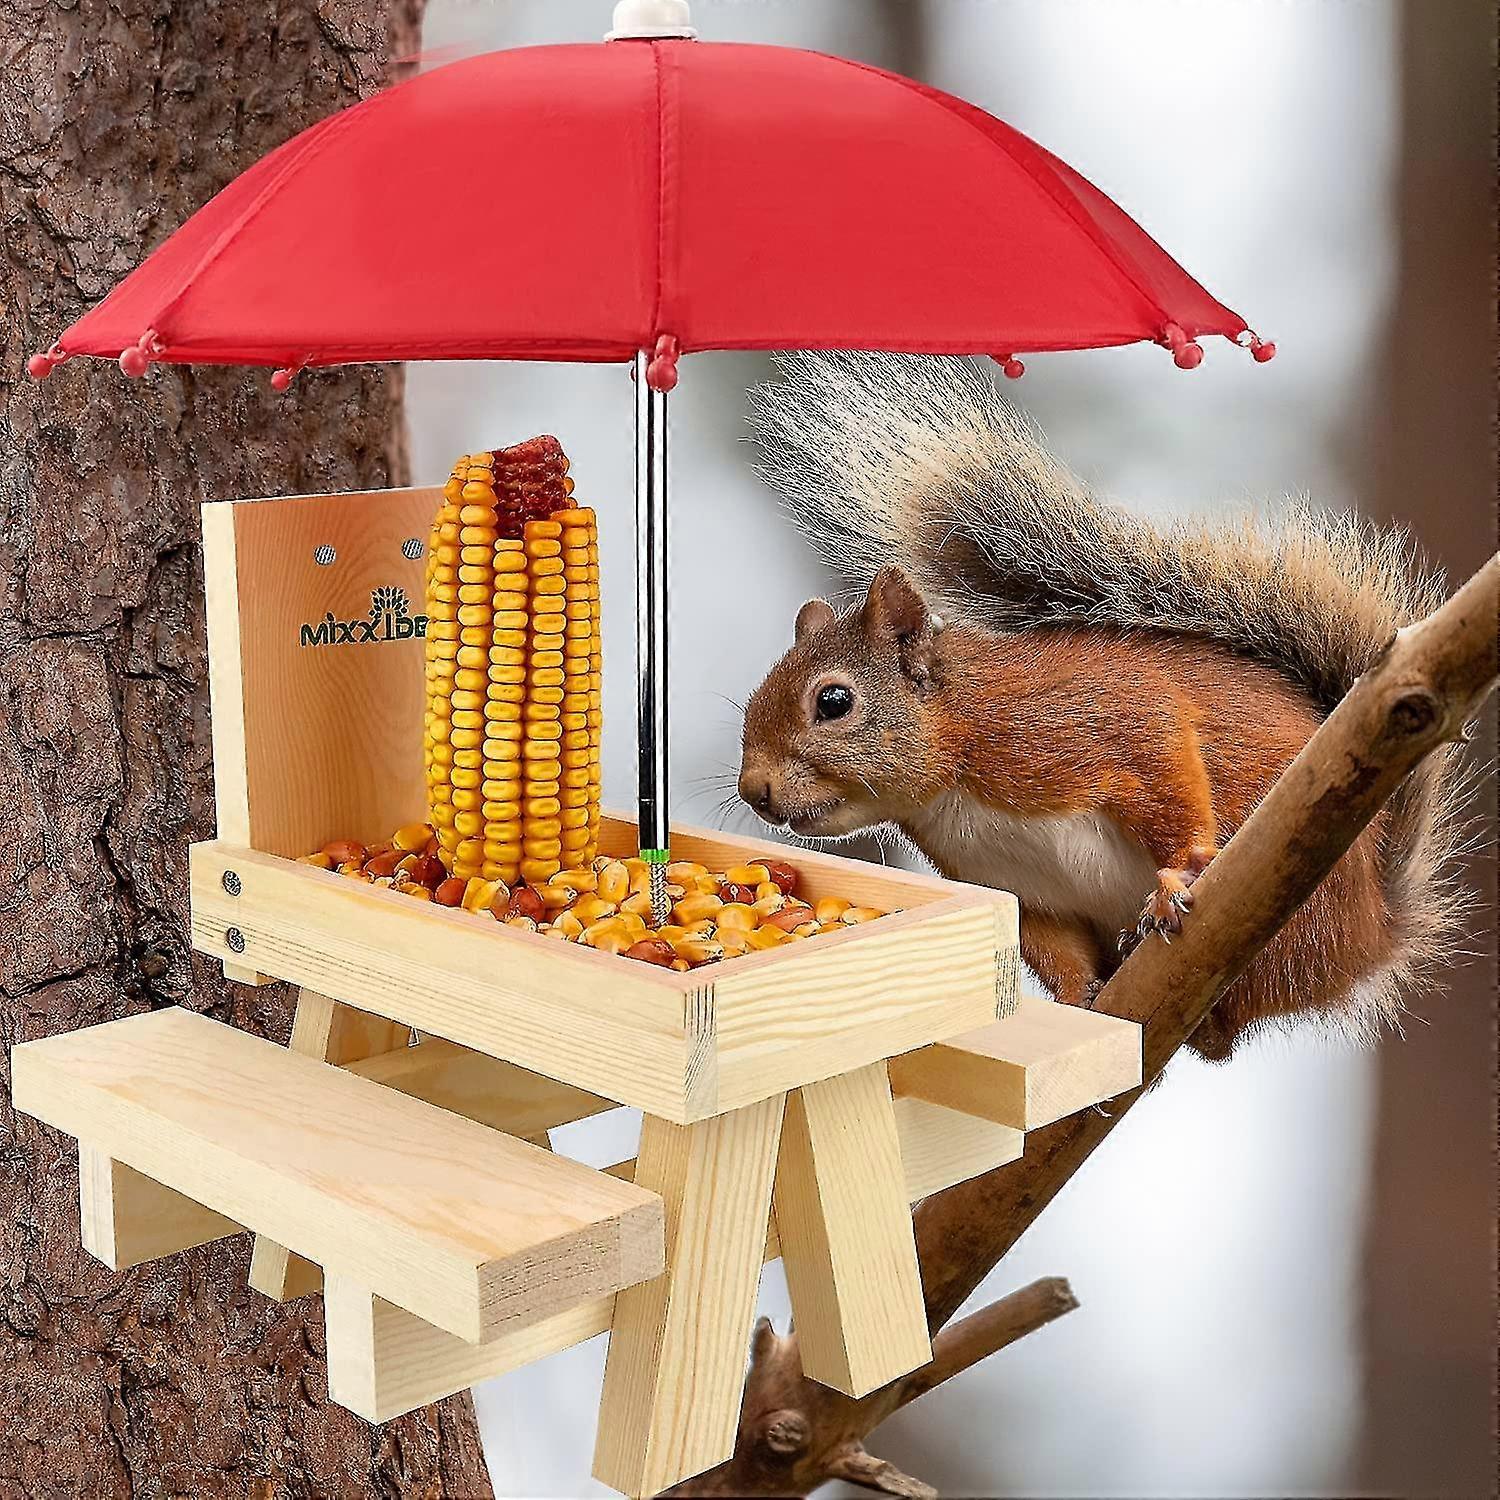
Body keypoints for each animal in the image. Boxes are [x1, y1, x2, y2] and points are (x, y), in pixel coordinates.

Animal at [736, 351, 1470, 1060]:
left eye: (834, 701)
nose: (754, 792)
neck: (956, 765)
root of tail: (1376, 930)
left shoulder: (1097, 721)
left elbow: (1167, 771)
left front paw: (1175, 878)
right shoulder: (1022, 890)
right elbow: (1053, 947)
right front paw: (1076, 1003)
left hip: (1296, 915)